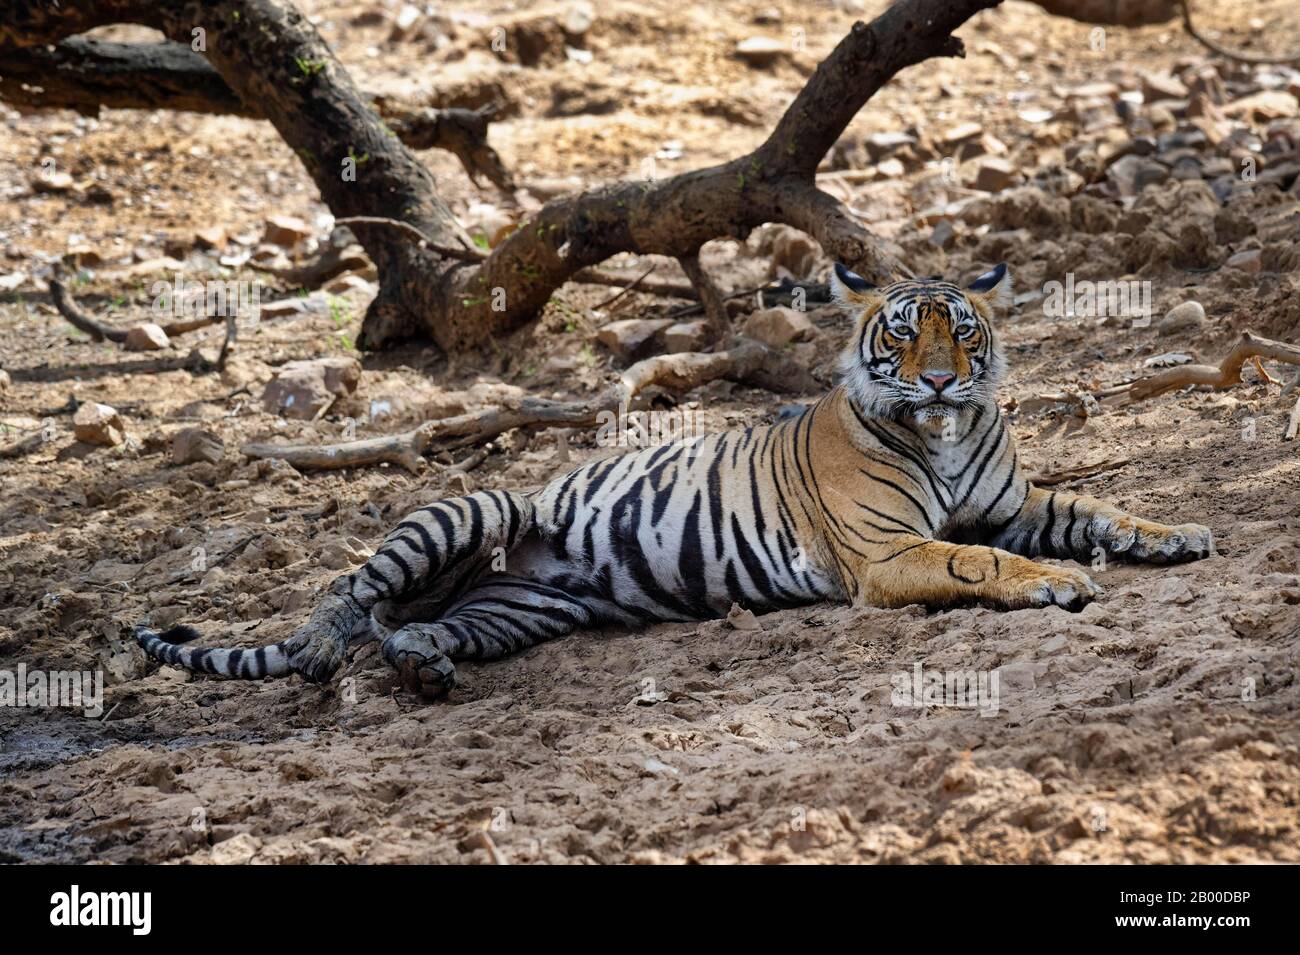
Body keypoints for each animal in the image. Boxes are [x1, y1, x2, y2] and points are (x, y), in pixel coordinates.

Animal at [135, 262, 1214, 698]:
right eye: (905, 334)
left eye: (964, 331)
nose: (945, 379)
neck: (944, 431)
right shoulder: (888, 553)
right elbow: (978, 563)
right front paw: (1058, 582)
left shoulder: (1014, 504)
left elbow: (1090, 505)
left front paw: (1174, 533)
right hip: (474, 506)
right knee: (346, 587)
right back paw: (325, 650)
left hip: (516, 611)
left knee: (408, 625)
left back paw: (422, 664)